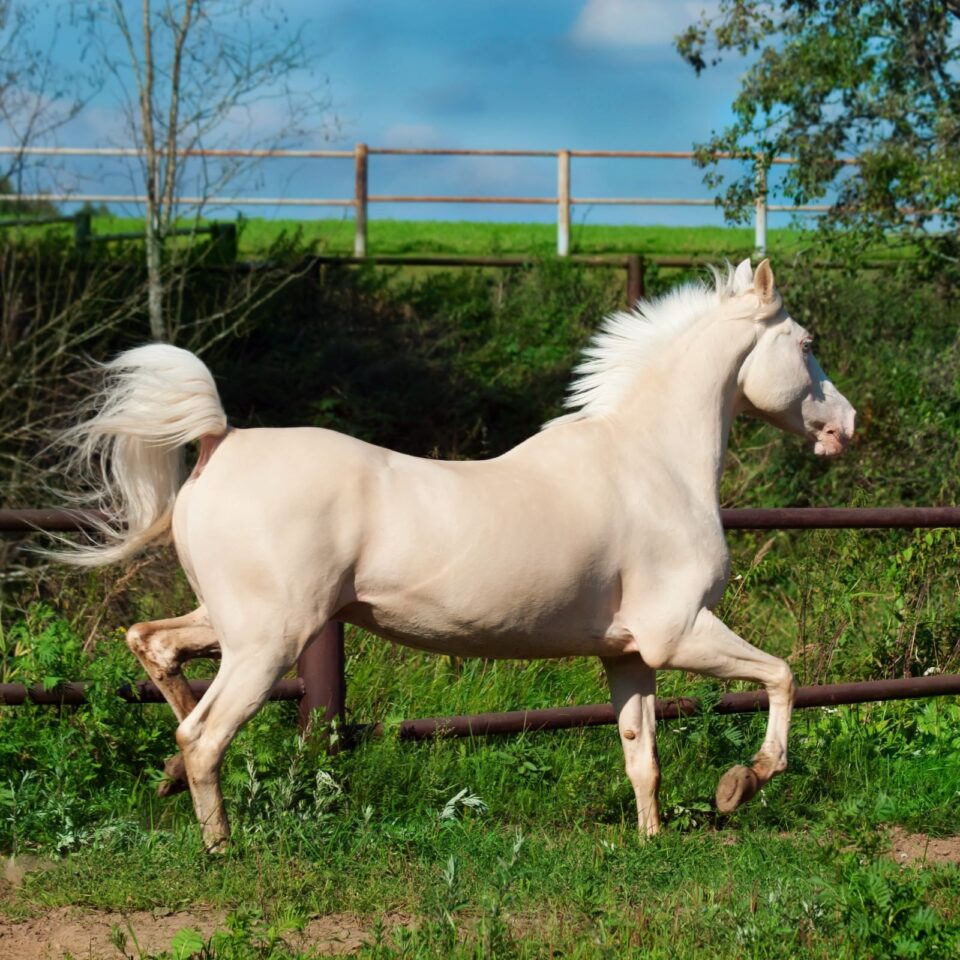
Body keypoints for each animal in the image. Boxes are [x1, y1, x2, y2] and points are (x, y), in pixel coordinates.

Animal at [51, 258, 855, 851]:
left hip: (234, 624)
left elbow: (641, 755)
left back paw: (164, 778)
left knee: (153, 646)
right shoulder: (679, 632)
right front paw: (740, 785)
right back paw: (222, 848)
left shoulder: (628, 653)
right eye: (806, 342)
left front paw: (652, 841)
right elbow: (782, 676)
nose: (845, 425)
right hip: (267, 642)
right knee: (203, 735)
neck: (652, 463)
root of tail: (219, 442)